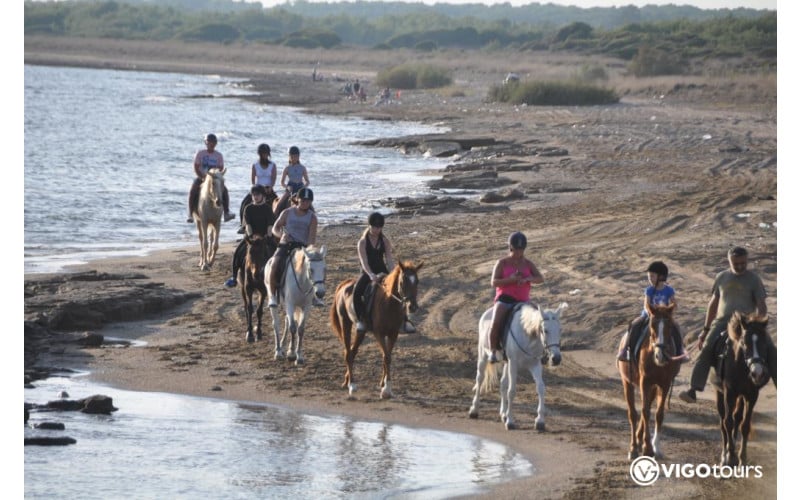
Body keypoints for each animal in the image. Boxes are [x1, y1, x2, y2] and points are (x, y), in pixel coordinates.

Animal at [330, 260, 423, 399]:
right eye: (402, 282)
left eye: (416, 281)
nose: (412, 307)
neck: (389, 303)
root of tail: (344, 284)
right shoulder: (379, 334)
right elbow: (386, 357)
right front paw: (386, 389)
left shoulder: (393, 334)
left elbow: (387, 356)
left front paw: (384, 384)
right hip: (345, 324)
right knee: (348, 353)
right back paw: (352, 385)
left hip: (361, 331)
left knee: (352, 351)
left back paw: (347, 380)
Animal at [469, 302, 567, 431]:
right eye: (545, 330)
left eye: (560, 330)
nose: (556, 359)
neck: (528, 336)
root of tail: (487, 312)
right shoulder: (513, 364)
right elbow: (512, 391)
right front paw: (510, 421)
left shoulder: (535, 365)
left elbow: (541, 388)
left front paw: (540, 420)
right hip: (483, 355)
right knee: (479, 379)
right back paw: (474, 410)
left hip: (507, 363)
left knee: (503, 384)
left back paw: (503, 413)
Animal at [617, 303, 682, 460]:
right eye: (652, 325)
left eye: (669, 326)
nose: (661, 355)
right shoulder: (644, 382)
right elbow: (645, 412)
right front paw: (647, 448)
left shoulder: (664, 384)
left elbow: (658, 414)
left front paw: (655, 448)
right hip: (627, 382)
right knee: (633, 413)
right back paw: (634, 448)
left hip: (653, 387)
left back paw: (639, 440)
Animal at [715, 311, 772, 467]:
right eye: (745, 343)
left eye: (764, 343)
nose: (757, 373)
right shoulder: (729, 394)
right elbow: (727, 423)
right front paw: (730, 456)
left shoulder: (751, 395)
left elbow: (744, 425)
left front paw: (742, 458)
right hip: (720, 393)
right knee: (723, 421)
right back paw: (725, 454)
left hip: (740, 396)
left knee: (737, 417)